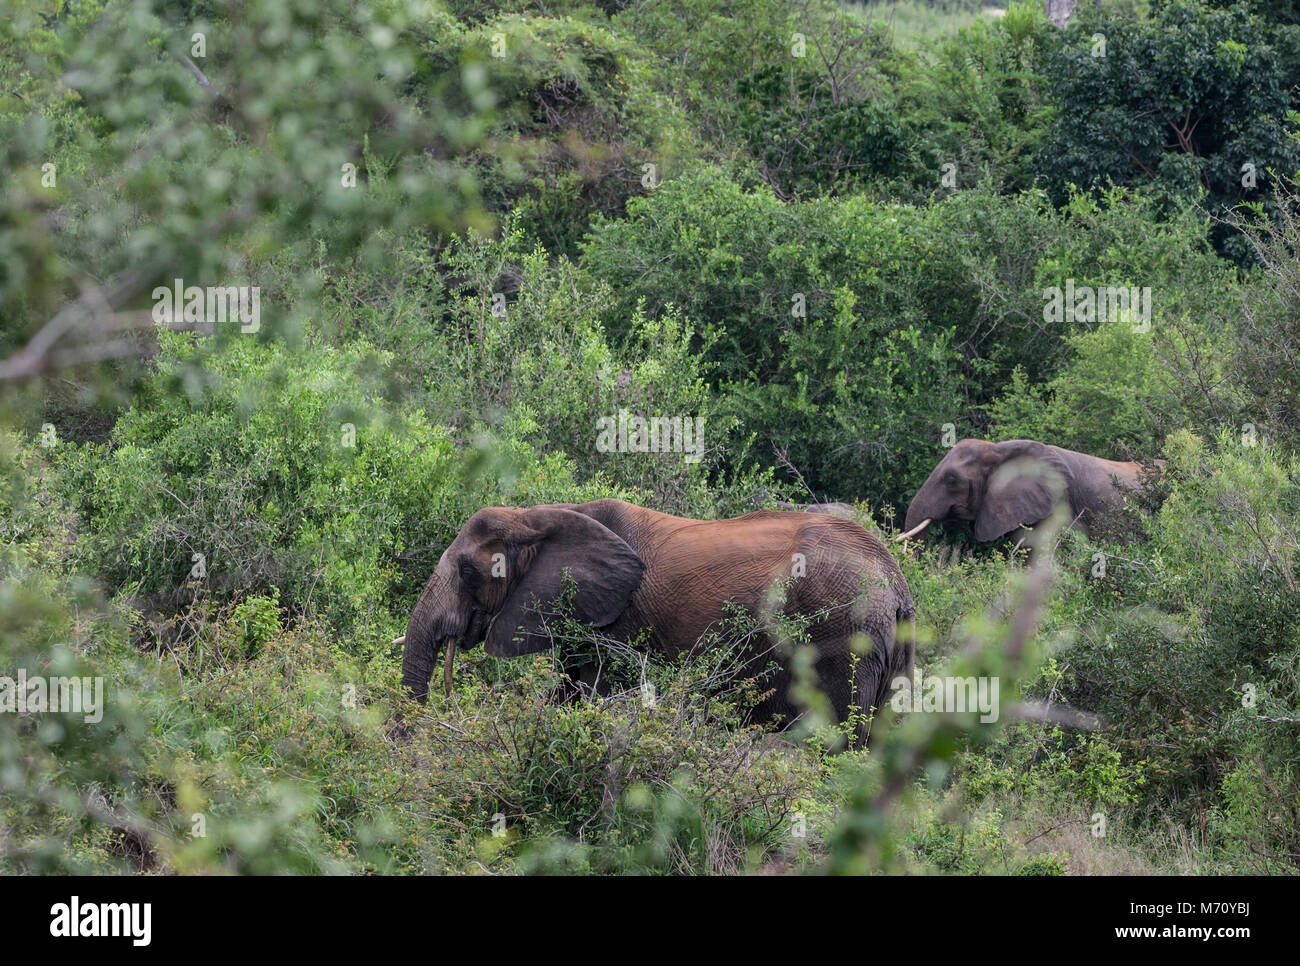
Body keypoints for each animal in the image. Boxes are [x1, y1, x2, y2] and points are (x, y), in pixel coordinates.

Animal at [396, 498, 915, 742]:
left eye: (468, 571)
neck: (538, 515)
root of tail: (896, 584)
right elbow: (566, 695)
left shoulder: (621, 618)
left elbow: (595, 695)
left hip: (843, 636)